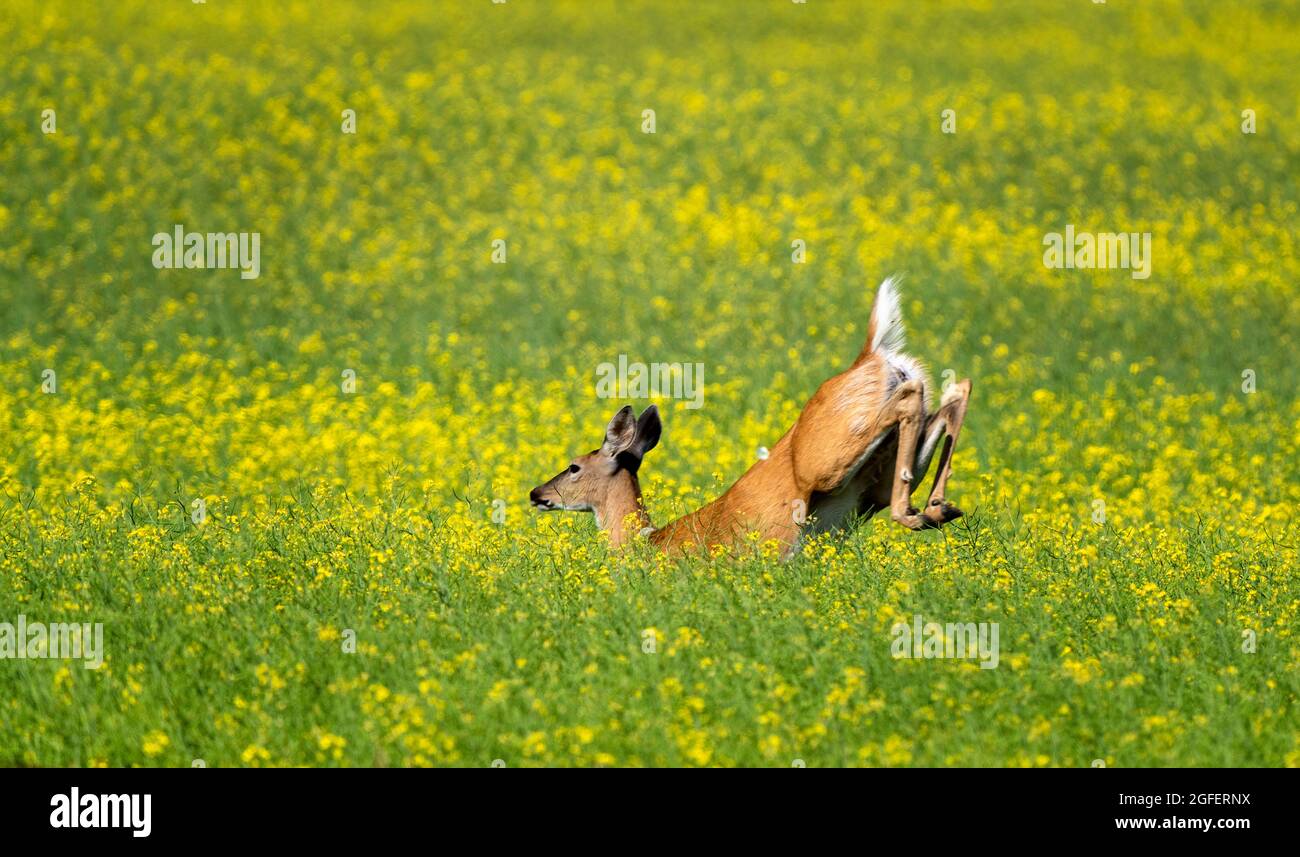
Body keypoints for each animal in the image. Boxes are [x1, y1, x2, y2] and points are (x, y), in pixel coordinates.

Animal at [529, 277, 972, 557]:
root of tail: (868, 355)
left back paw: (920, 513)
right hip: (874, 477)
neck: (647, 544)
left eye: (574, 466)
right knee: (953, 391)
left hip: (829, 458)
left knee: (913, 398)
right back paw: (938, 507)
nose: (537, 493)